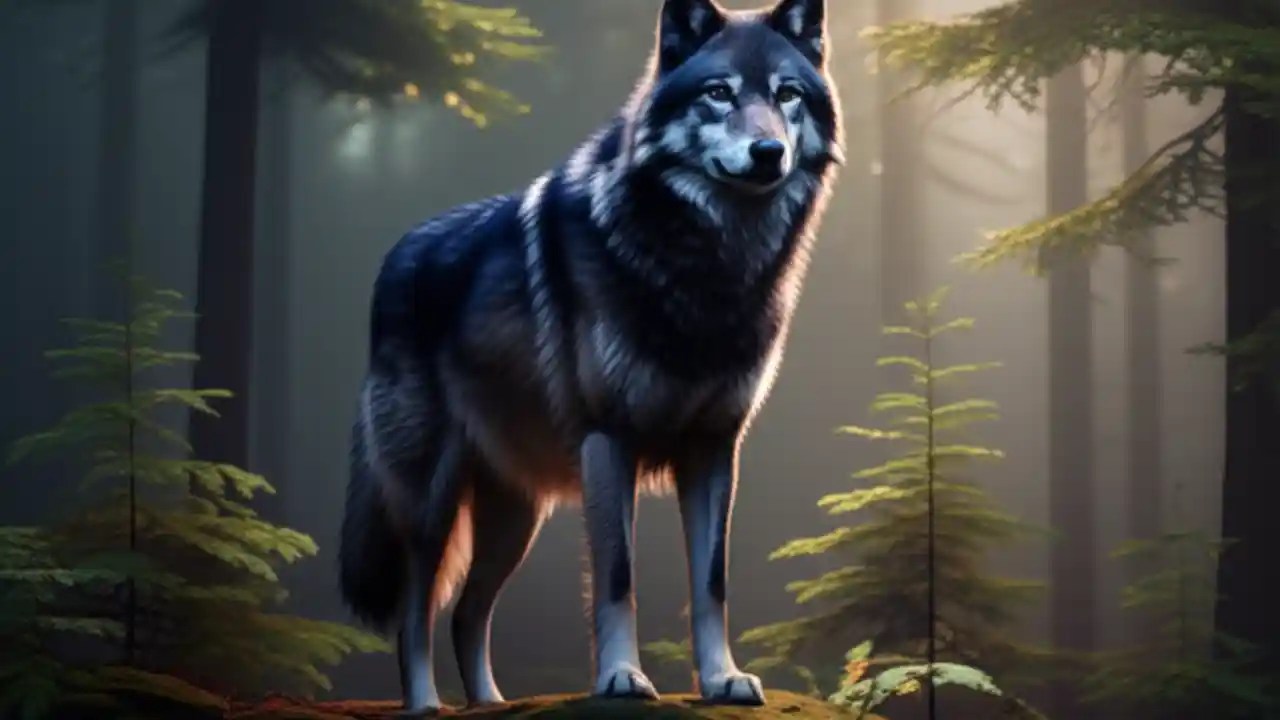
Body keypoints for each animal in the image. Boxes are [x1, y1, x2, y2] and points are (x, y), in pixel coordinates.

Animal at [339, 0, 842, 711]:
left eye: (786, 95)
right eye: (719, 93)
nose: (768, 151)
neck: (709, 269)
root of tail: (395, 255)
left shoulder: (715, 447)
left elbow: (711, 581)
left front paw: (722, 679)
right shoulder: (611, 440)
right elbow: (617, 576)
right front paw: (621, 677)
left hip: (516, 518)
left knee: (468, 612)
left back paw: (492, 704)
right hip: (432, 503)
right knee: (417, 609)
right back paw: (426, 705)